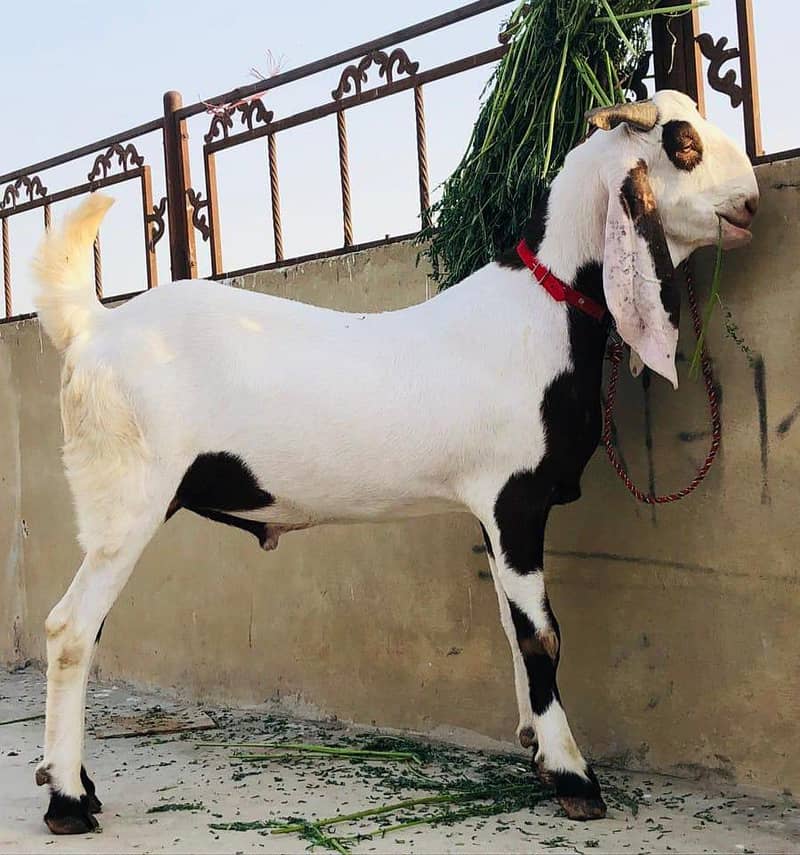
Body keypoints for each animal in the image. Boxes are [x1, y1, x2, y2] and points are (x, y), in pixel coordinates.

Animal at [31, 90, 758, 833]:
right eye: (683, 144)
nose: (751, 204)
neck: (542, 308)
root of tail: (91, 327)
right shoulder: (514, 497)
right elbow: (541, 635)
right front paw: (572, 775)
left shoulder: (490, 512)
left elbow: (510, 623)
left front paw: (533, 745)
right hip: (128, 498)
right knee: (69, 629)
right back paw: (67, 802)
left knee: (86, 629)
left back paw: (79, 785)